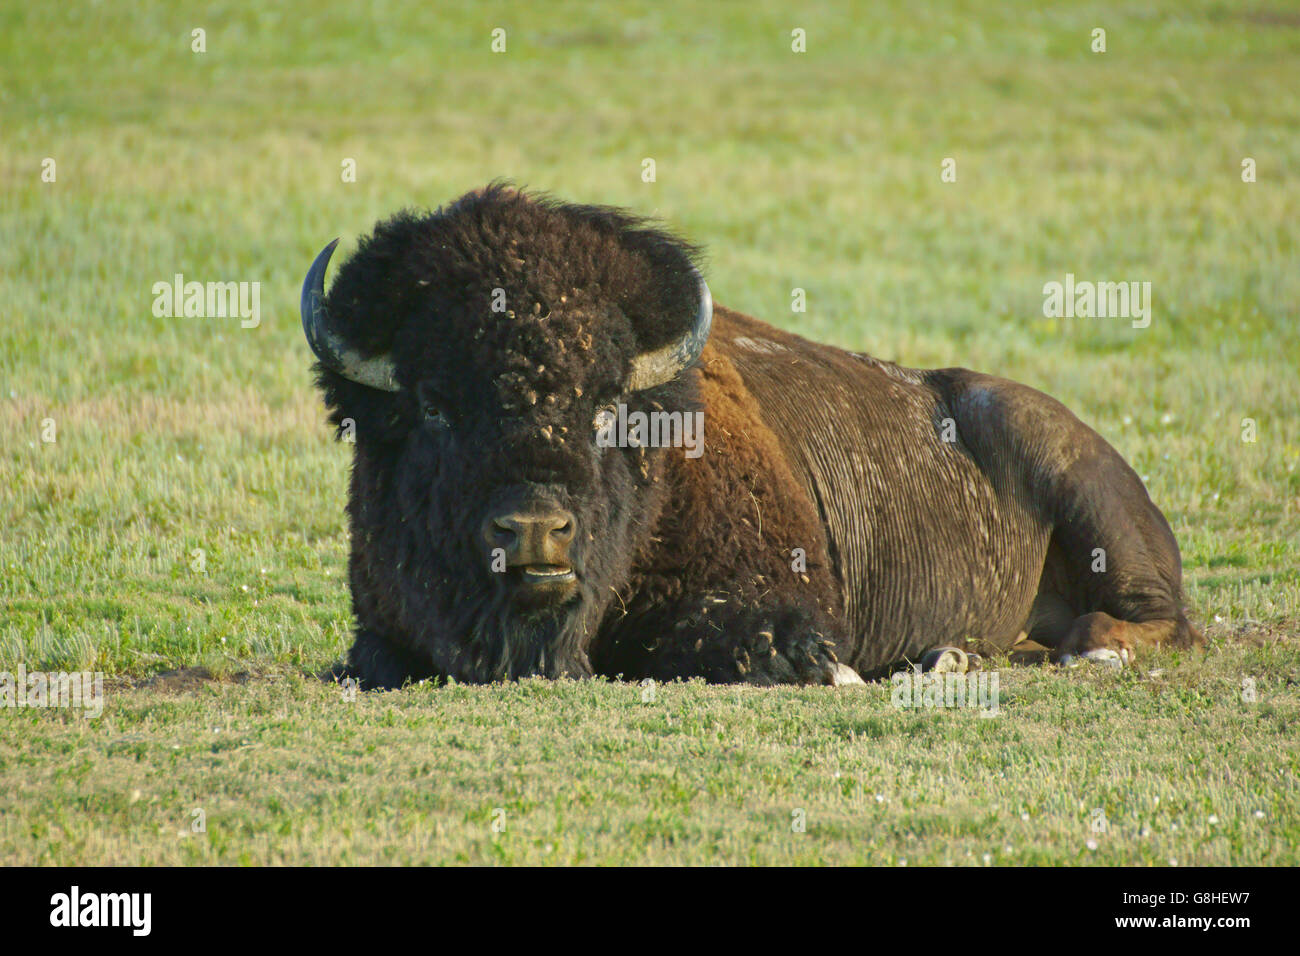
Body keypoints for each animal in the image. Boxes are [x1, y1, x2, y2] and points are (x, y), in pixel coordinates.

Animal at [303, 185, 1202, 688]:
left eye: (607, 401)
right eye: (432, 405)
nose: (533, 531)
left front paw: (837, 674)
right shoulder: (382, 629)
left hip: (1099, 516)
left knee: (1159, 622)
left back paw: (1081, 653)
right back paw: (951, 657)